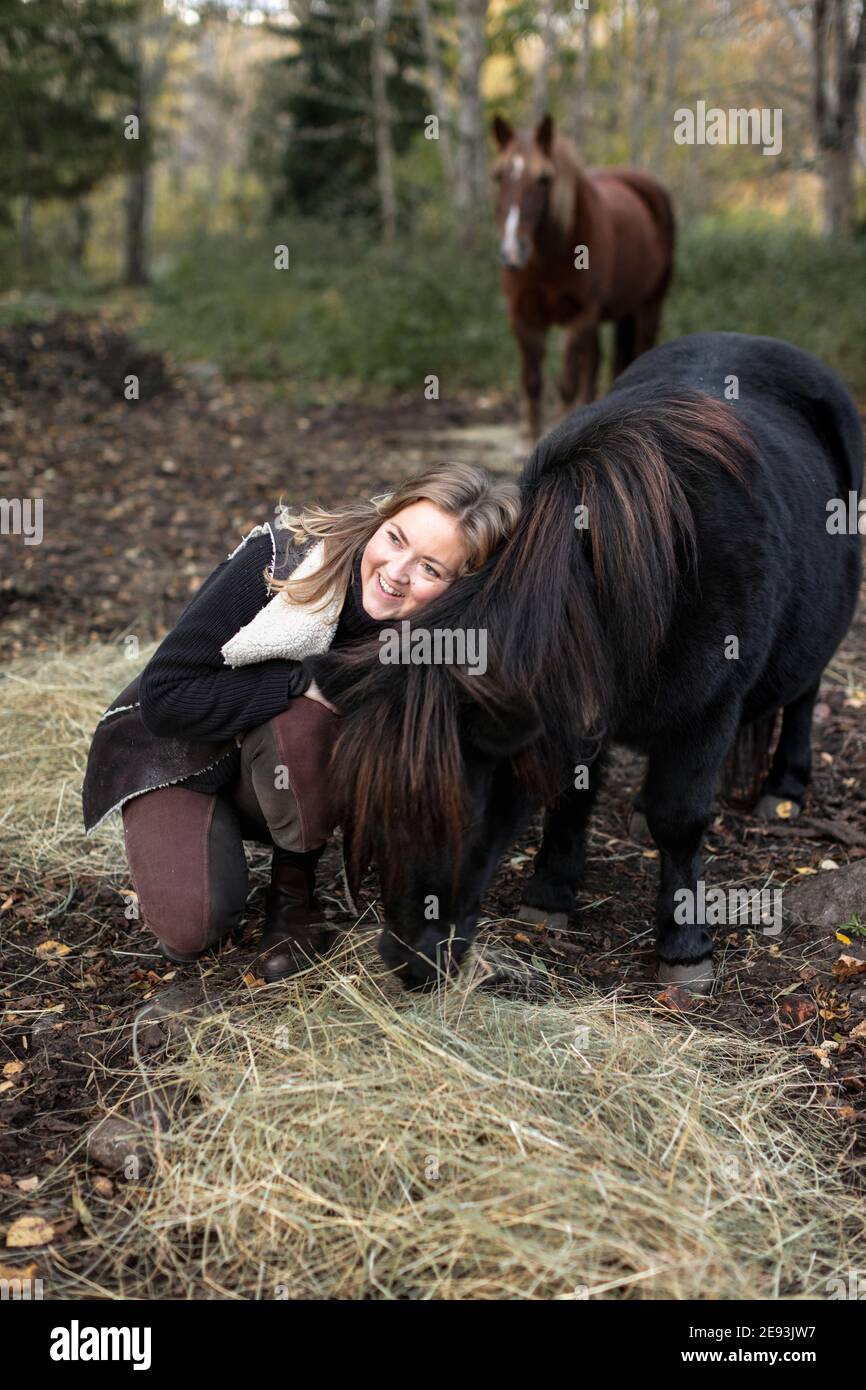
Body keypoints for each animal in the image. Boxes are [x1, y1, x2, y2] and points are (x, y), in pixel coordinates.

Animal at [308, 332, 863, 994]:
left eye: (466, 815)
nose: (410, 964)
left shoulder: (708, 713)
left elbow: (681, 820)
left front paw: (685, 948)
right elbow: (572, 794)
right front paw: (550, 895)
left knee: (804, 695)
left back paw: (784, 789)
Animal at [491, 113, 676, 446]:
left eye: (544, 179)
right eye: (498, 176)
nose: (512, 250)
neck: (550, 257)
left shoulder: (580, 316)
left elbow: (567, 384)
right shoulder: (524, 317)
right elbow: (533, 382)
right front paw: (531, 438)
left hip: (650, 305)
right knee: (594, 363)